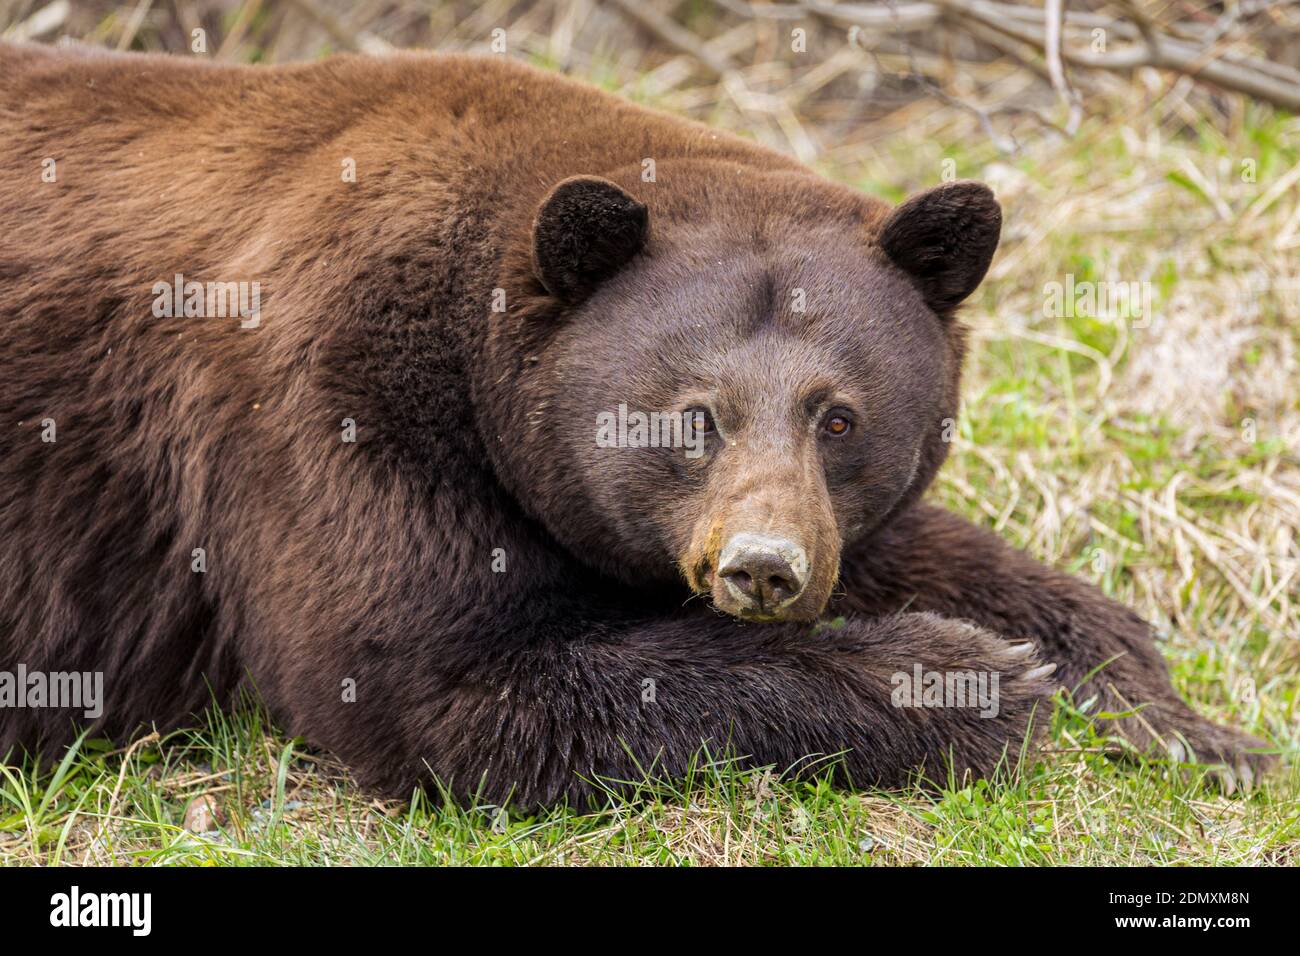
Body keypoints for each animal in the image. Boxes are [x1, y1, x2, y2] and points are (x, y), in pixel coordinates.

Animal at [0, 43, 1273, 807]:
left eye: (839, 416)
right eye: (694, 415)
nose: (763, 566)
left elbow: (954, 556)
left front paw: (1186, 720)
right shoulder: (327, 394)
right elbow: (435, 677)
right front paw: (967, 681)